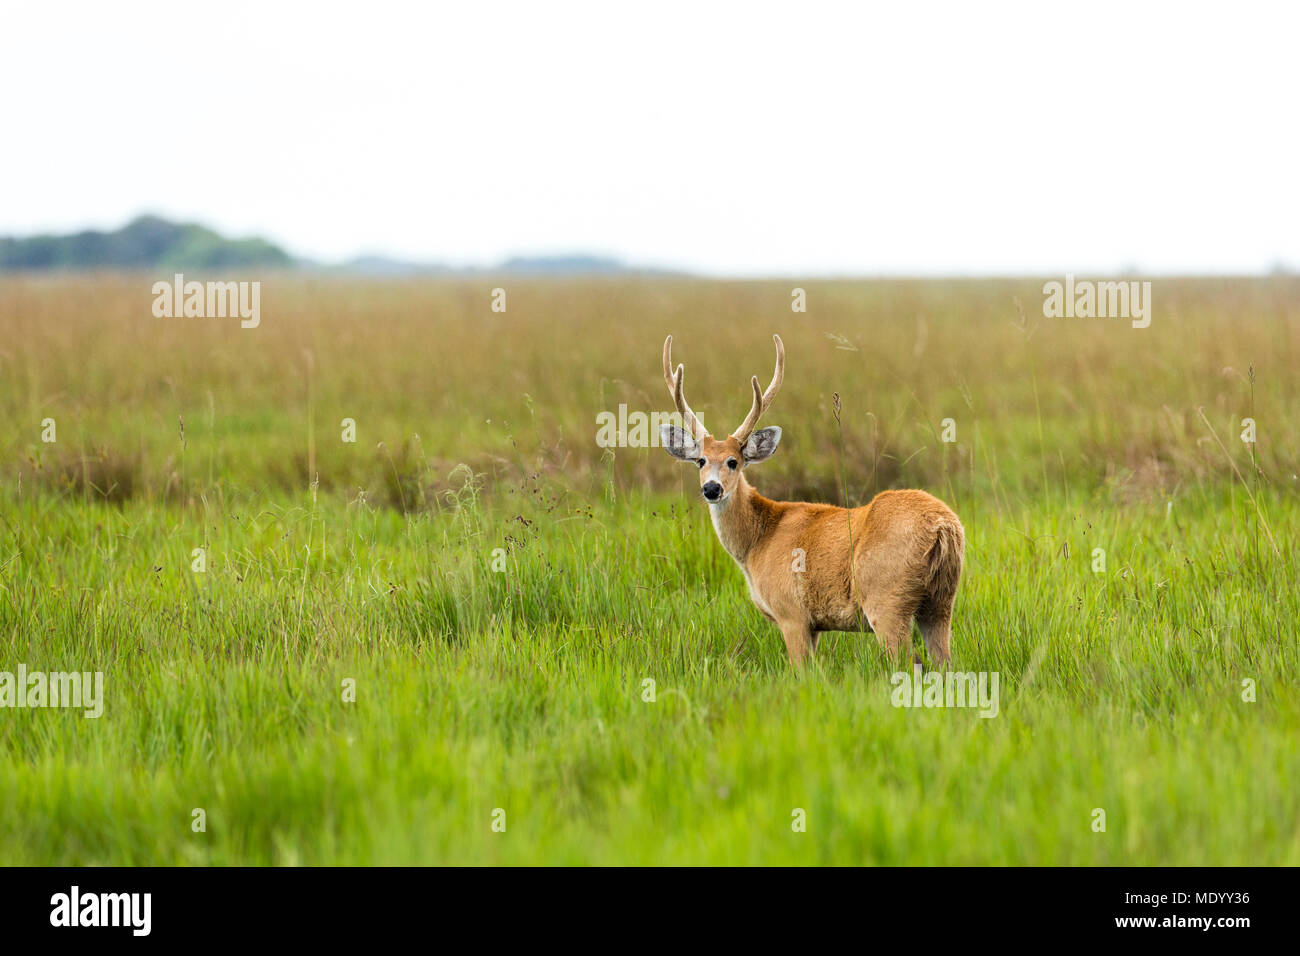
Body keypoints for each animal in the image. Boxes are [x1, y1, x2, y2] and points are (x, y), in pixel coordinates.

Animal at [659, 334, 964, 668]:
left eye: (733, 461)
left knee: (909, 662)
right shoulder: (815, 625)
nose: (712, 489)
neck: (758, 540)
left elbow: (800, 671)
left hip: (887, 599)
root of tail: (943, 527)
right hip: (942, 602)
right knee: (945, 662)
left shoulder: (792, 614)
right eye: (700, 460)